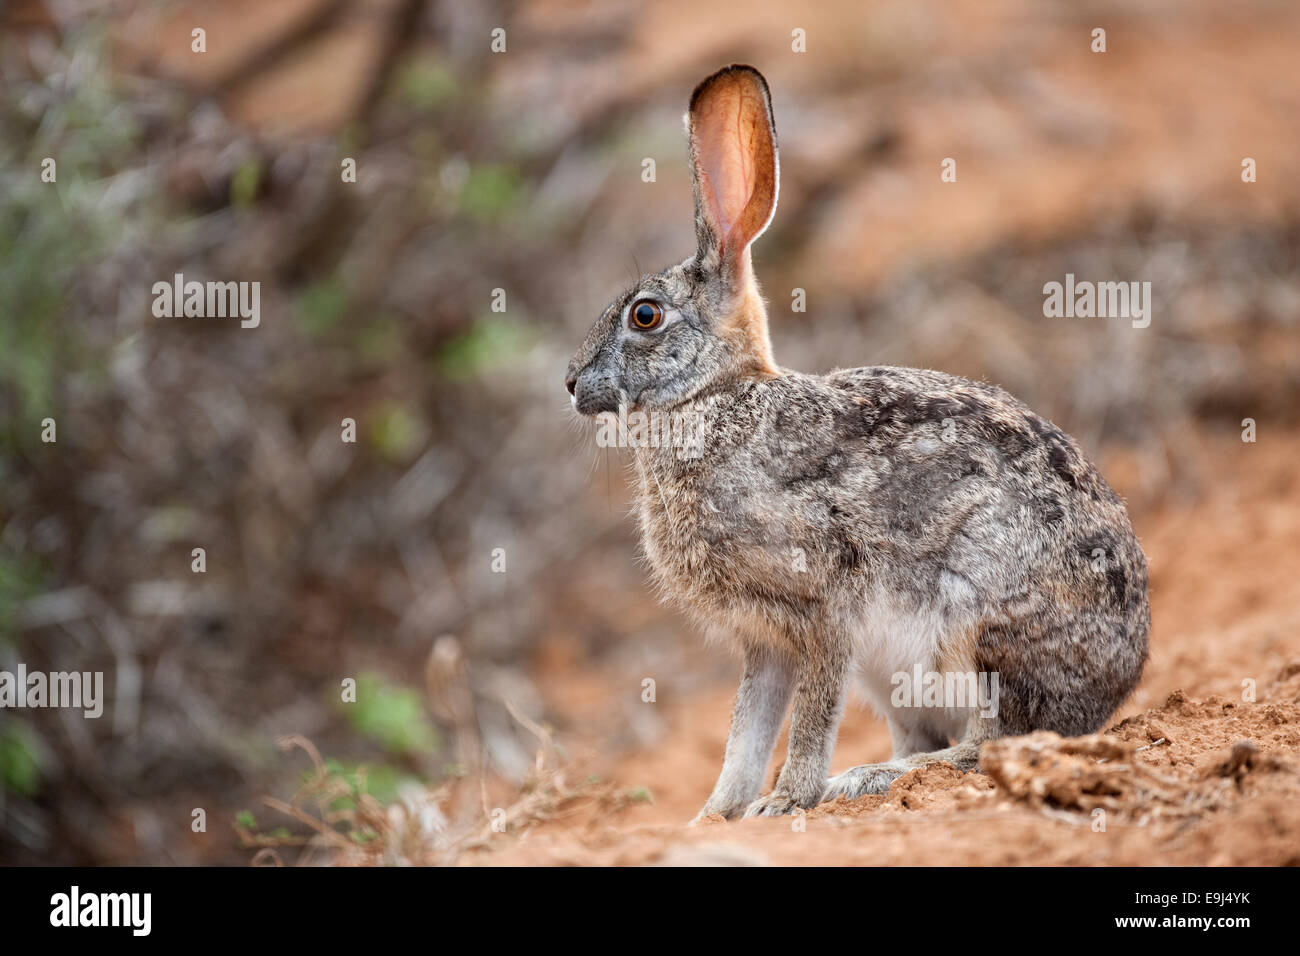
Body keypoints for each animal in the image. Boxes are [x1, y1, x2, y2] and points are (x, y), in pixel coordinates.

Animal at [565, 64, 1150, 819]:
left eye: (644, 316)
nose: (571, 384)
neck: (714, 401)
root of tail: (1116, 681)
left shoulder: (823, 604)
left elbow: (810, 718)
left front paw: (785, 802)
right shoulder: (766, 639)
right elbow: (745, 734)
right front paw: (716, 814)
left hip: (976, 623)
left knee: (987, 743)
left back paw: (864, 779)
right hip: (896, 675)